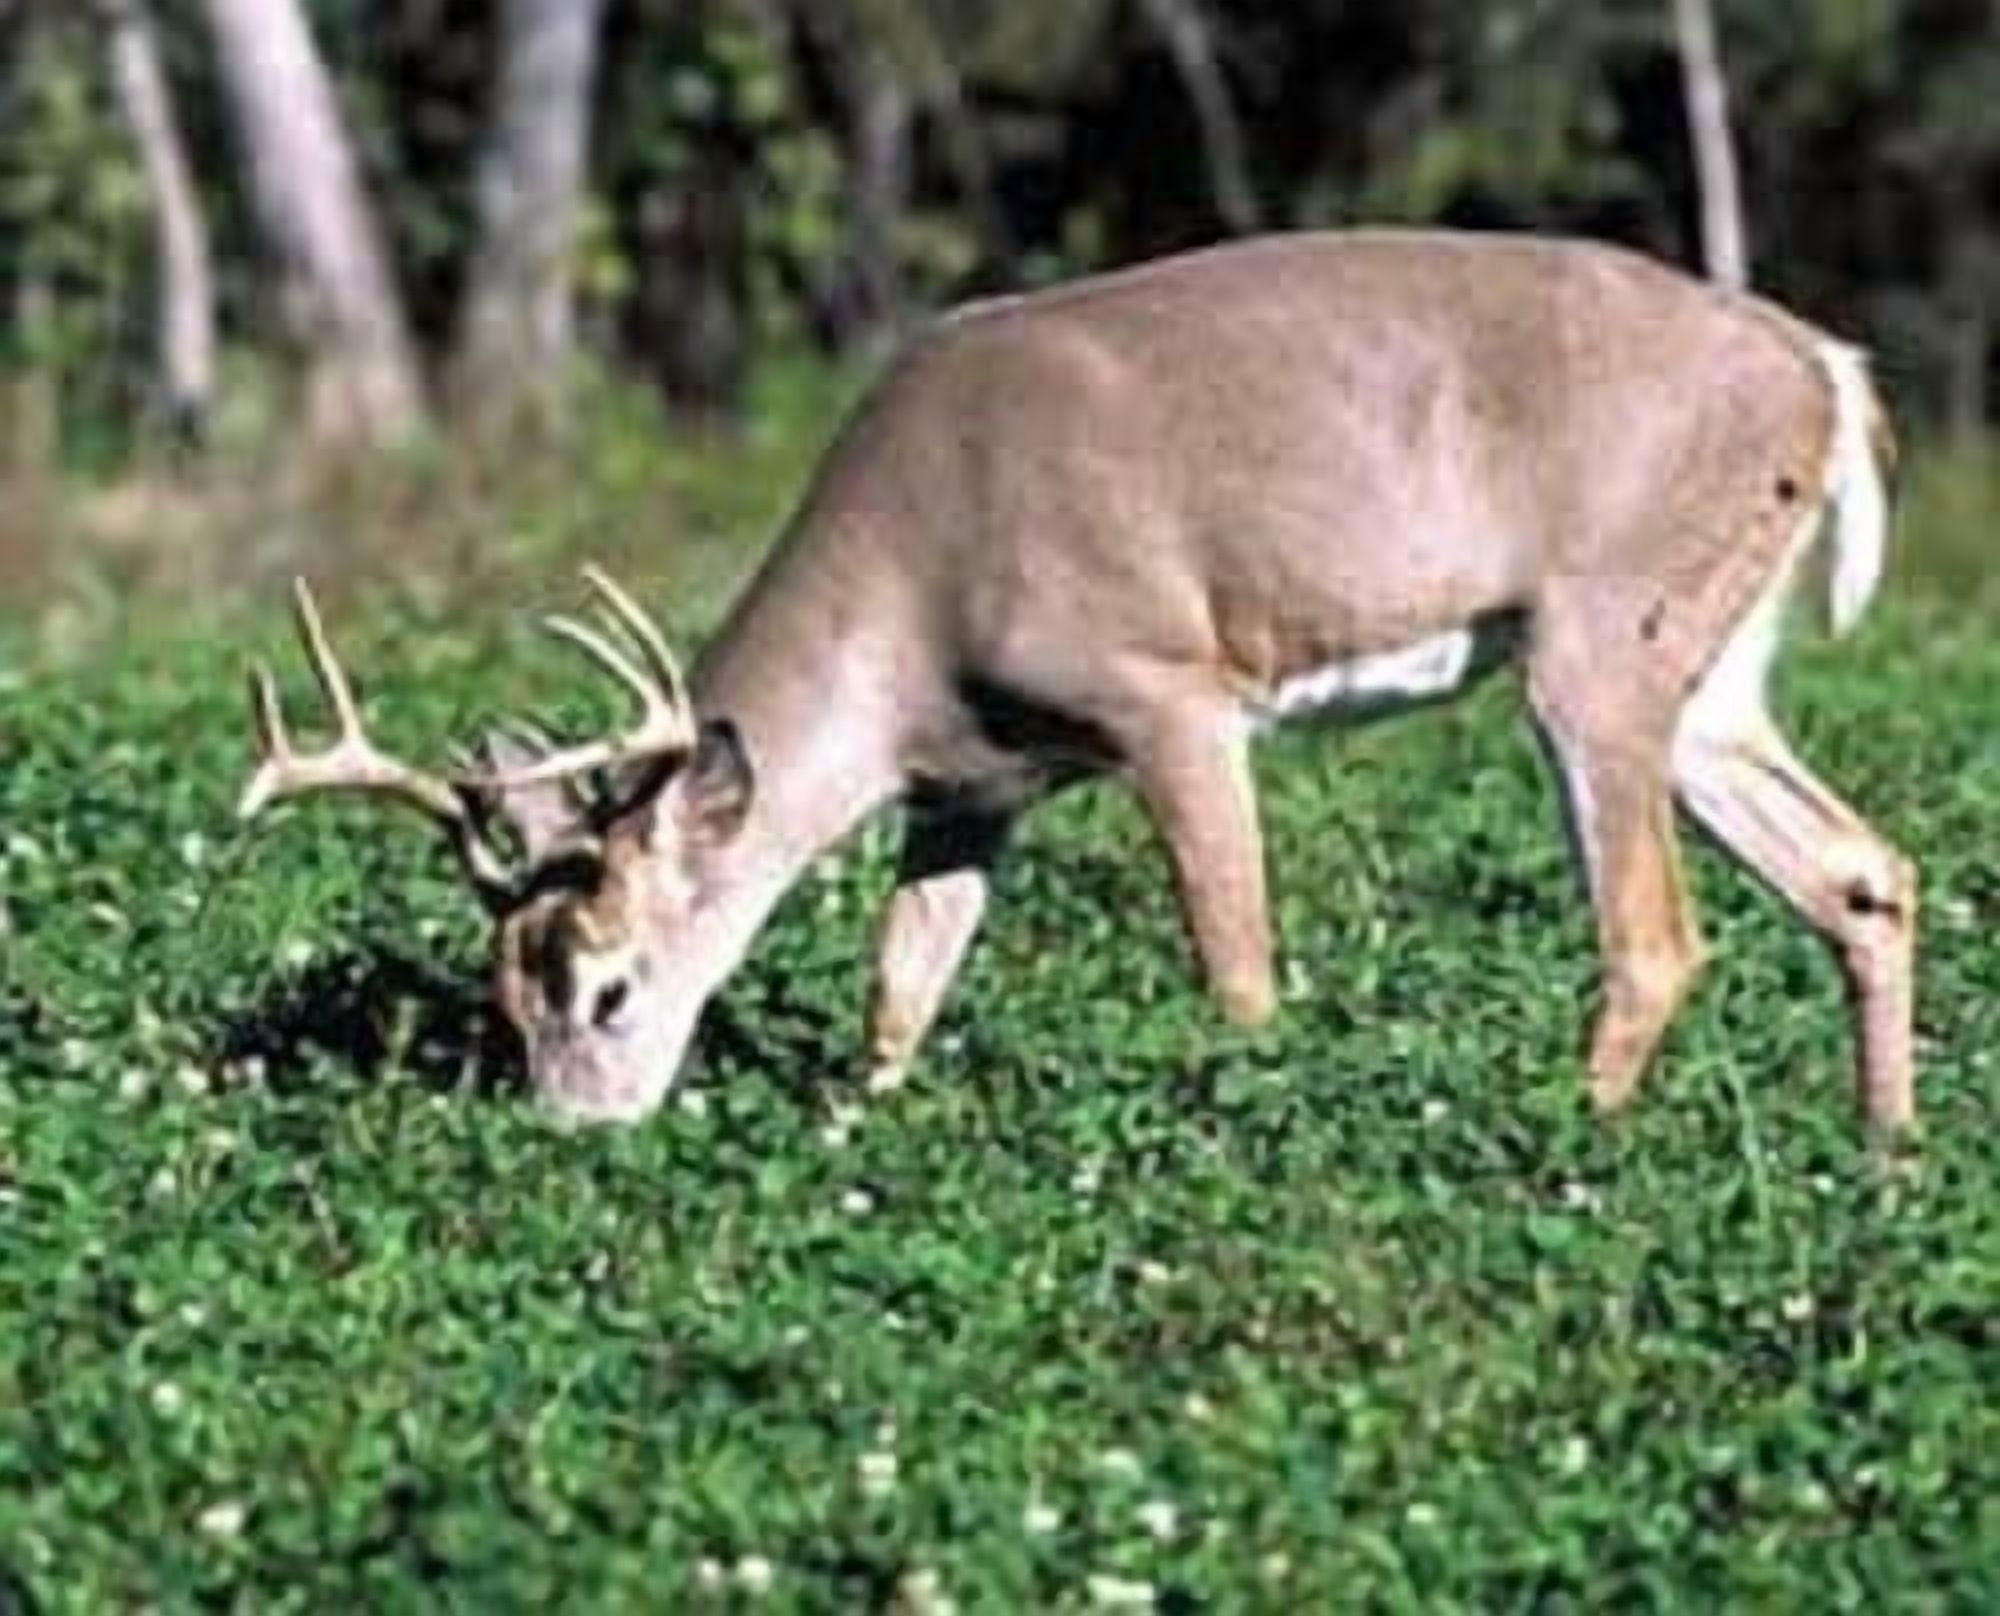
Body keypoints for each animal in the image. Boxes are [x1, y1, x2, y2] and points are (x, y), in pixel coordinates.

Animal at [239, 229, 1914, 1134]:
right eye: (501, 993)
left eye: (606, 983)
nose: (570, 1137)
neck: (917, 593)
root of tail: (1826, 370)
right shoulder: (971, 786)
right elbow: (901, 987)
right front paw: (861, 1136)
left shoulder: (1166, 692)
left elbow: (1239, 970)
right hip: (1710, 670)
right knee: (1866, 873)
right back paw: (1886, 1165)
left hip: (1597, 641)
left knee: (1654, 938)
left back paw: (1576, 1152)